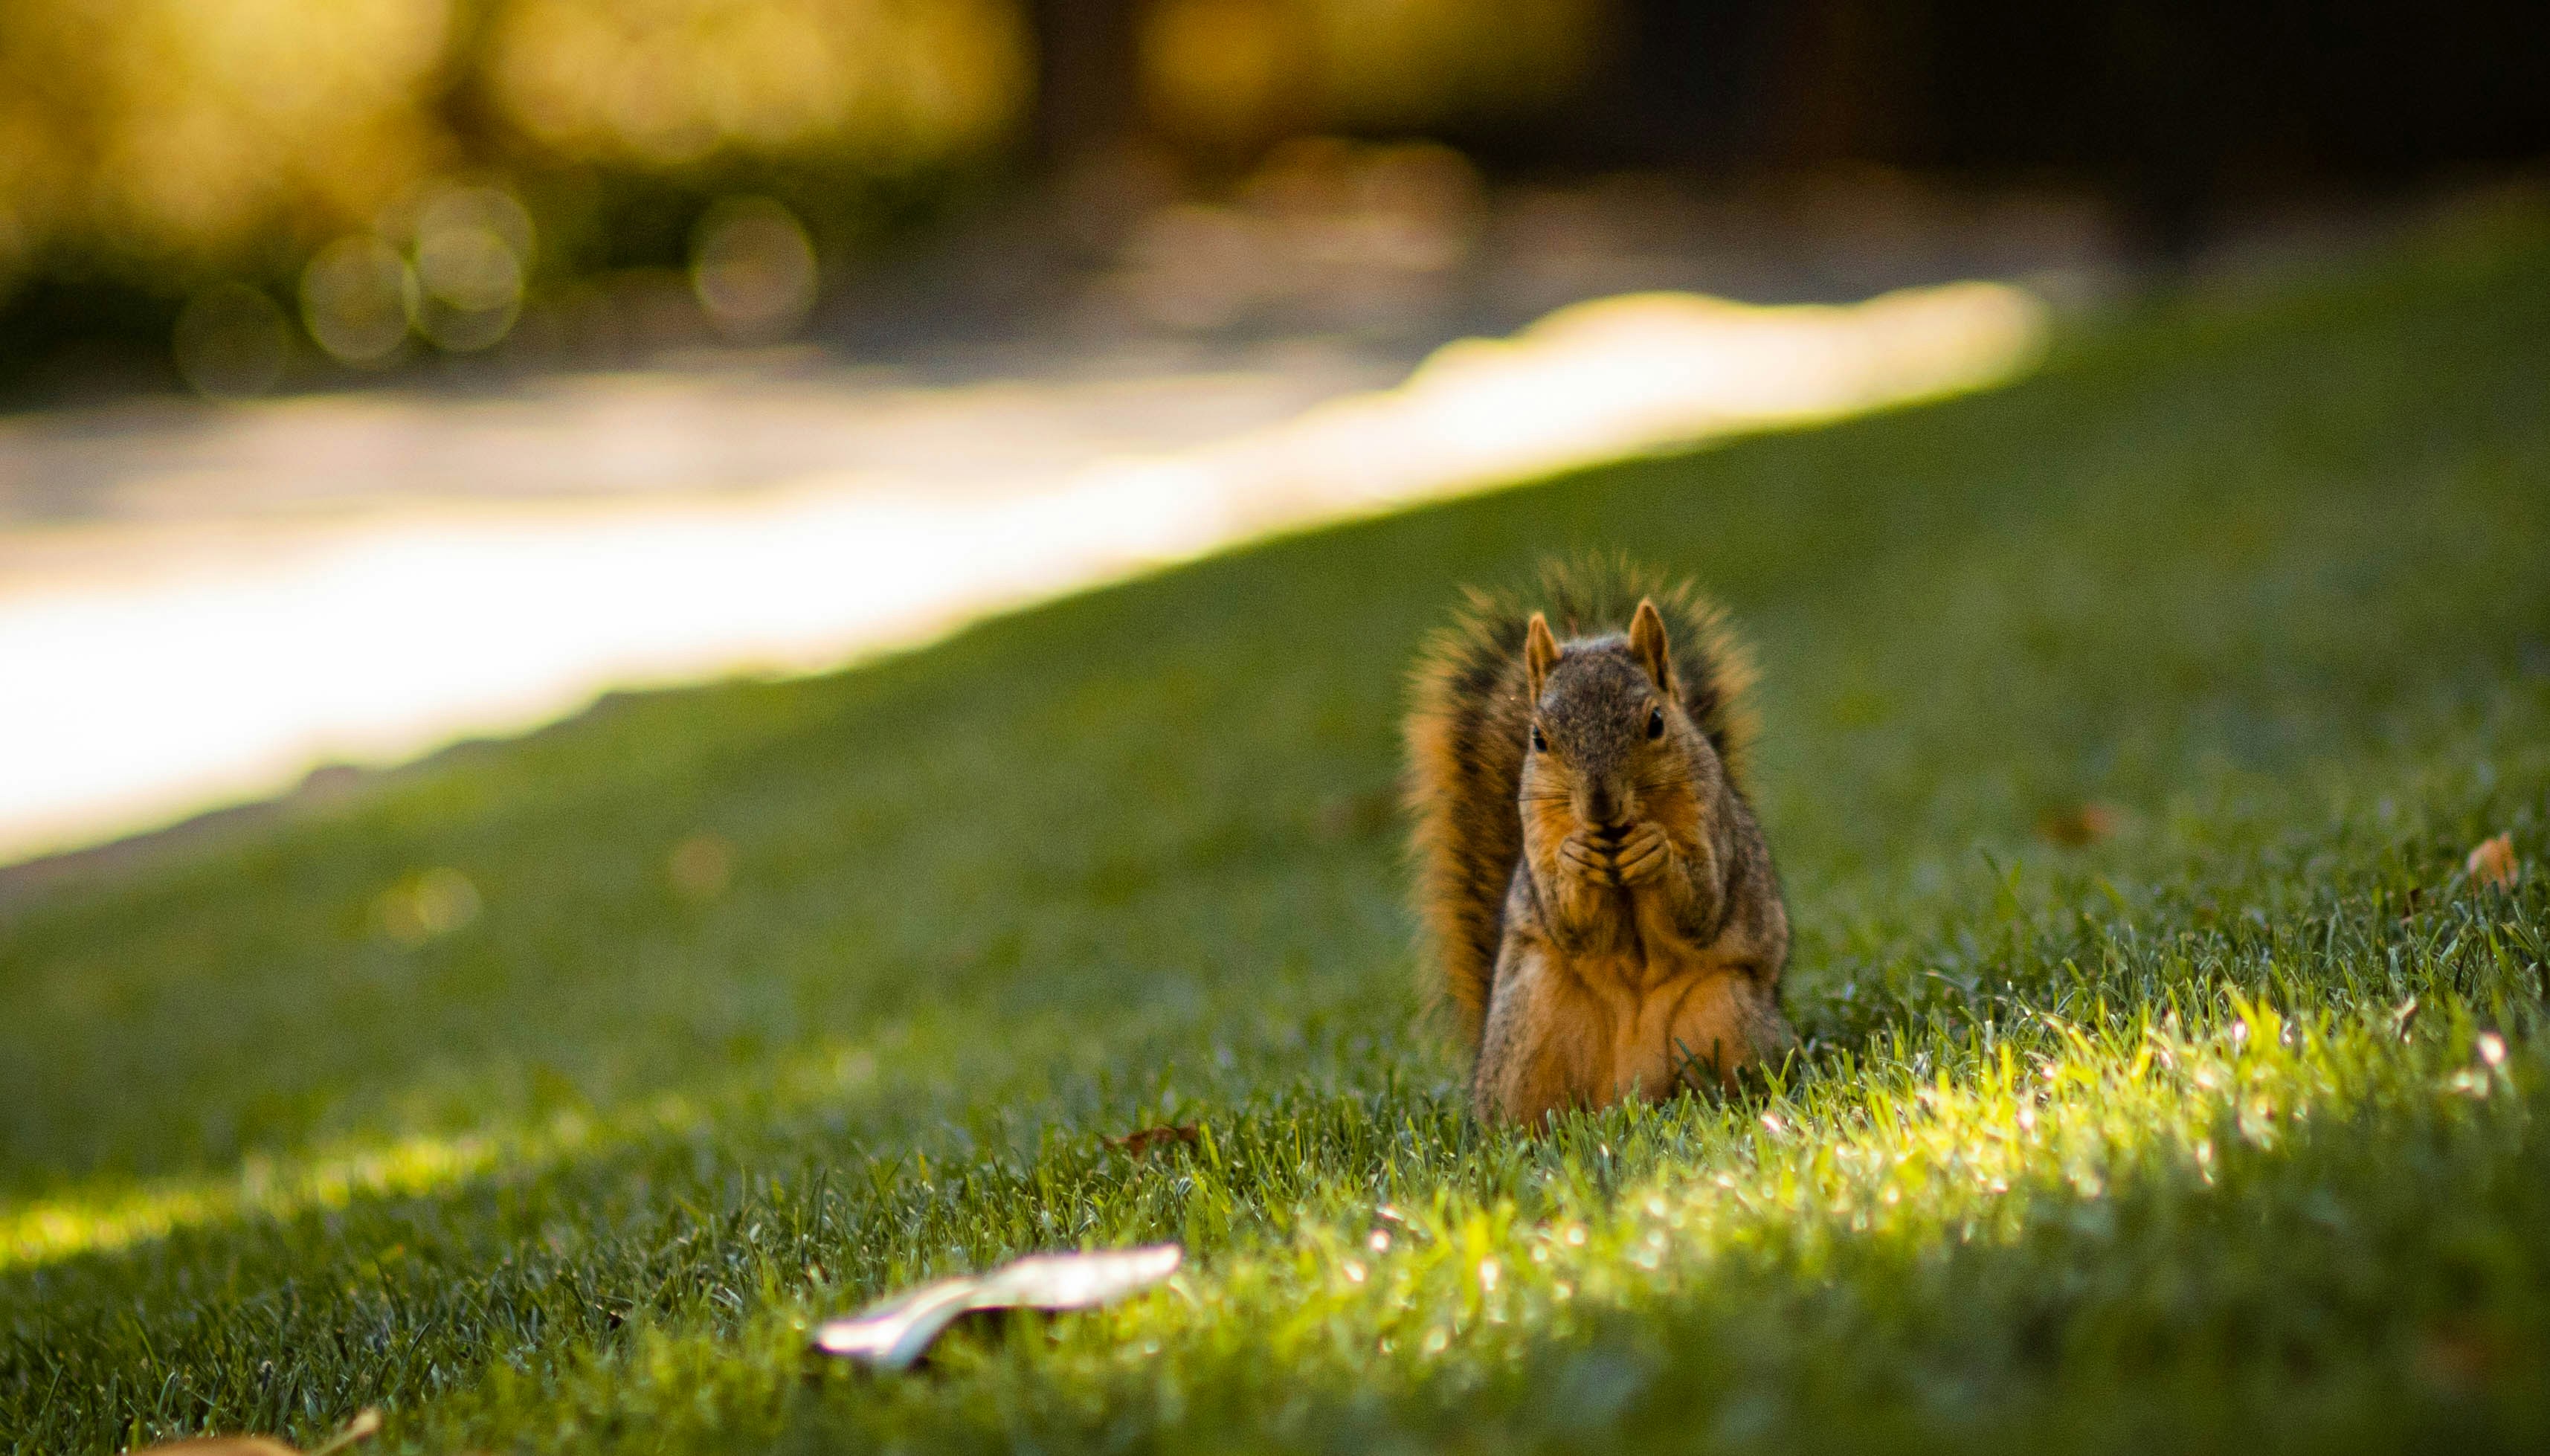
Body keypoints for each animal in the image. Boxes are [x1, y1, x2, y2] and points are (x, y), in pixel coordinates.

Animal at [1406, 557, 1796, 1125]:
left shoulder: (1712, 825)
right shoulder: (1537, 836)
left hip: (1729, 1014)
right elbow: (1571, 924)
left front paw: (1655, 851)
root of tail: (1628, 1092)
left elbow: (1700, 905)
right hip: (1530, 1023)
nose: (1600, 807)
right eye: (1538, 738)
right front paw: (1575, 859)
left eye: (1655, 722)